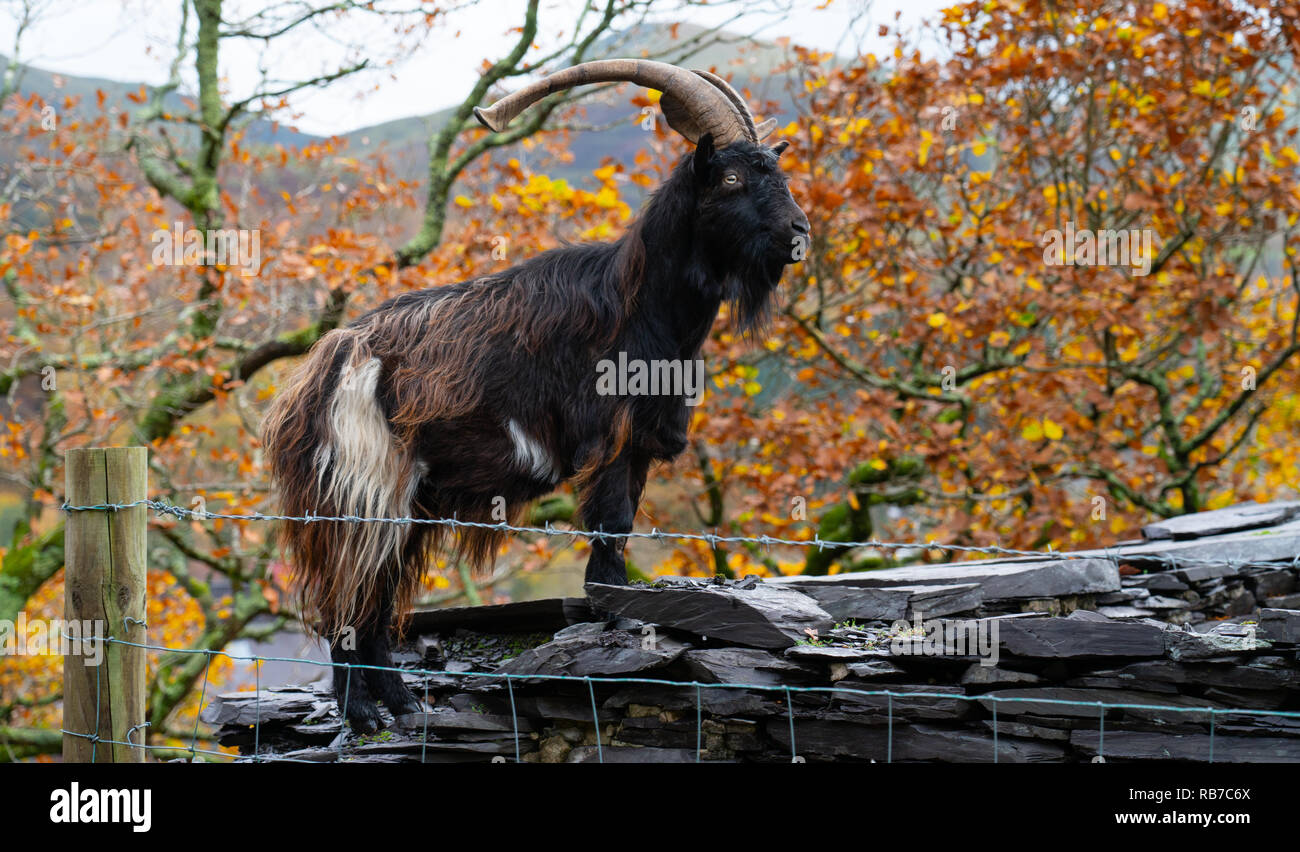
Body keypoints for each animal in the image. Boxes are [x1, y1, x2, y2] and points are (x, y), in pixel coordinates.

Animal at [263, 60, 810, 731]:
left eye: (776, 173)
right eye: (732, 177)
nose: (799, 231)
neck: (637, 303)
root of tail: (326, 363)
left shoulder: (641, 443)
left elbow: (621, 525)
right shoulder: (610, 438)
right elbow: (610, 526)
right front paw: (616, 617)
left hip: (408, 500)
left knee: (378, 596)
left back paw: (401, 705)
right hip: (363, 484)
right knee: (349, 591)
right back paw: (363, 715)